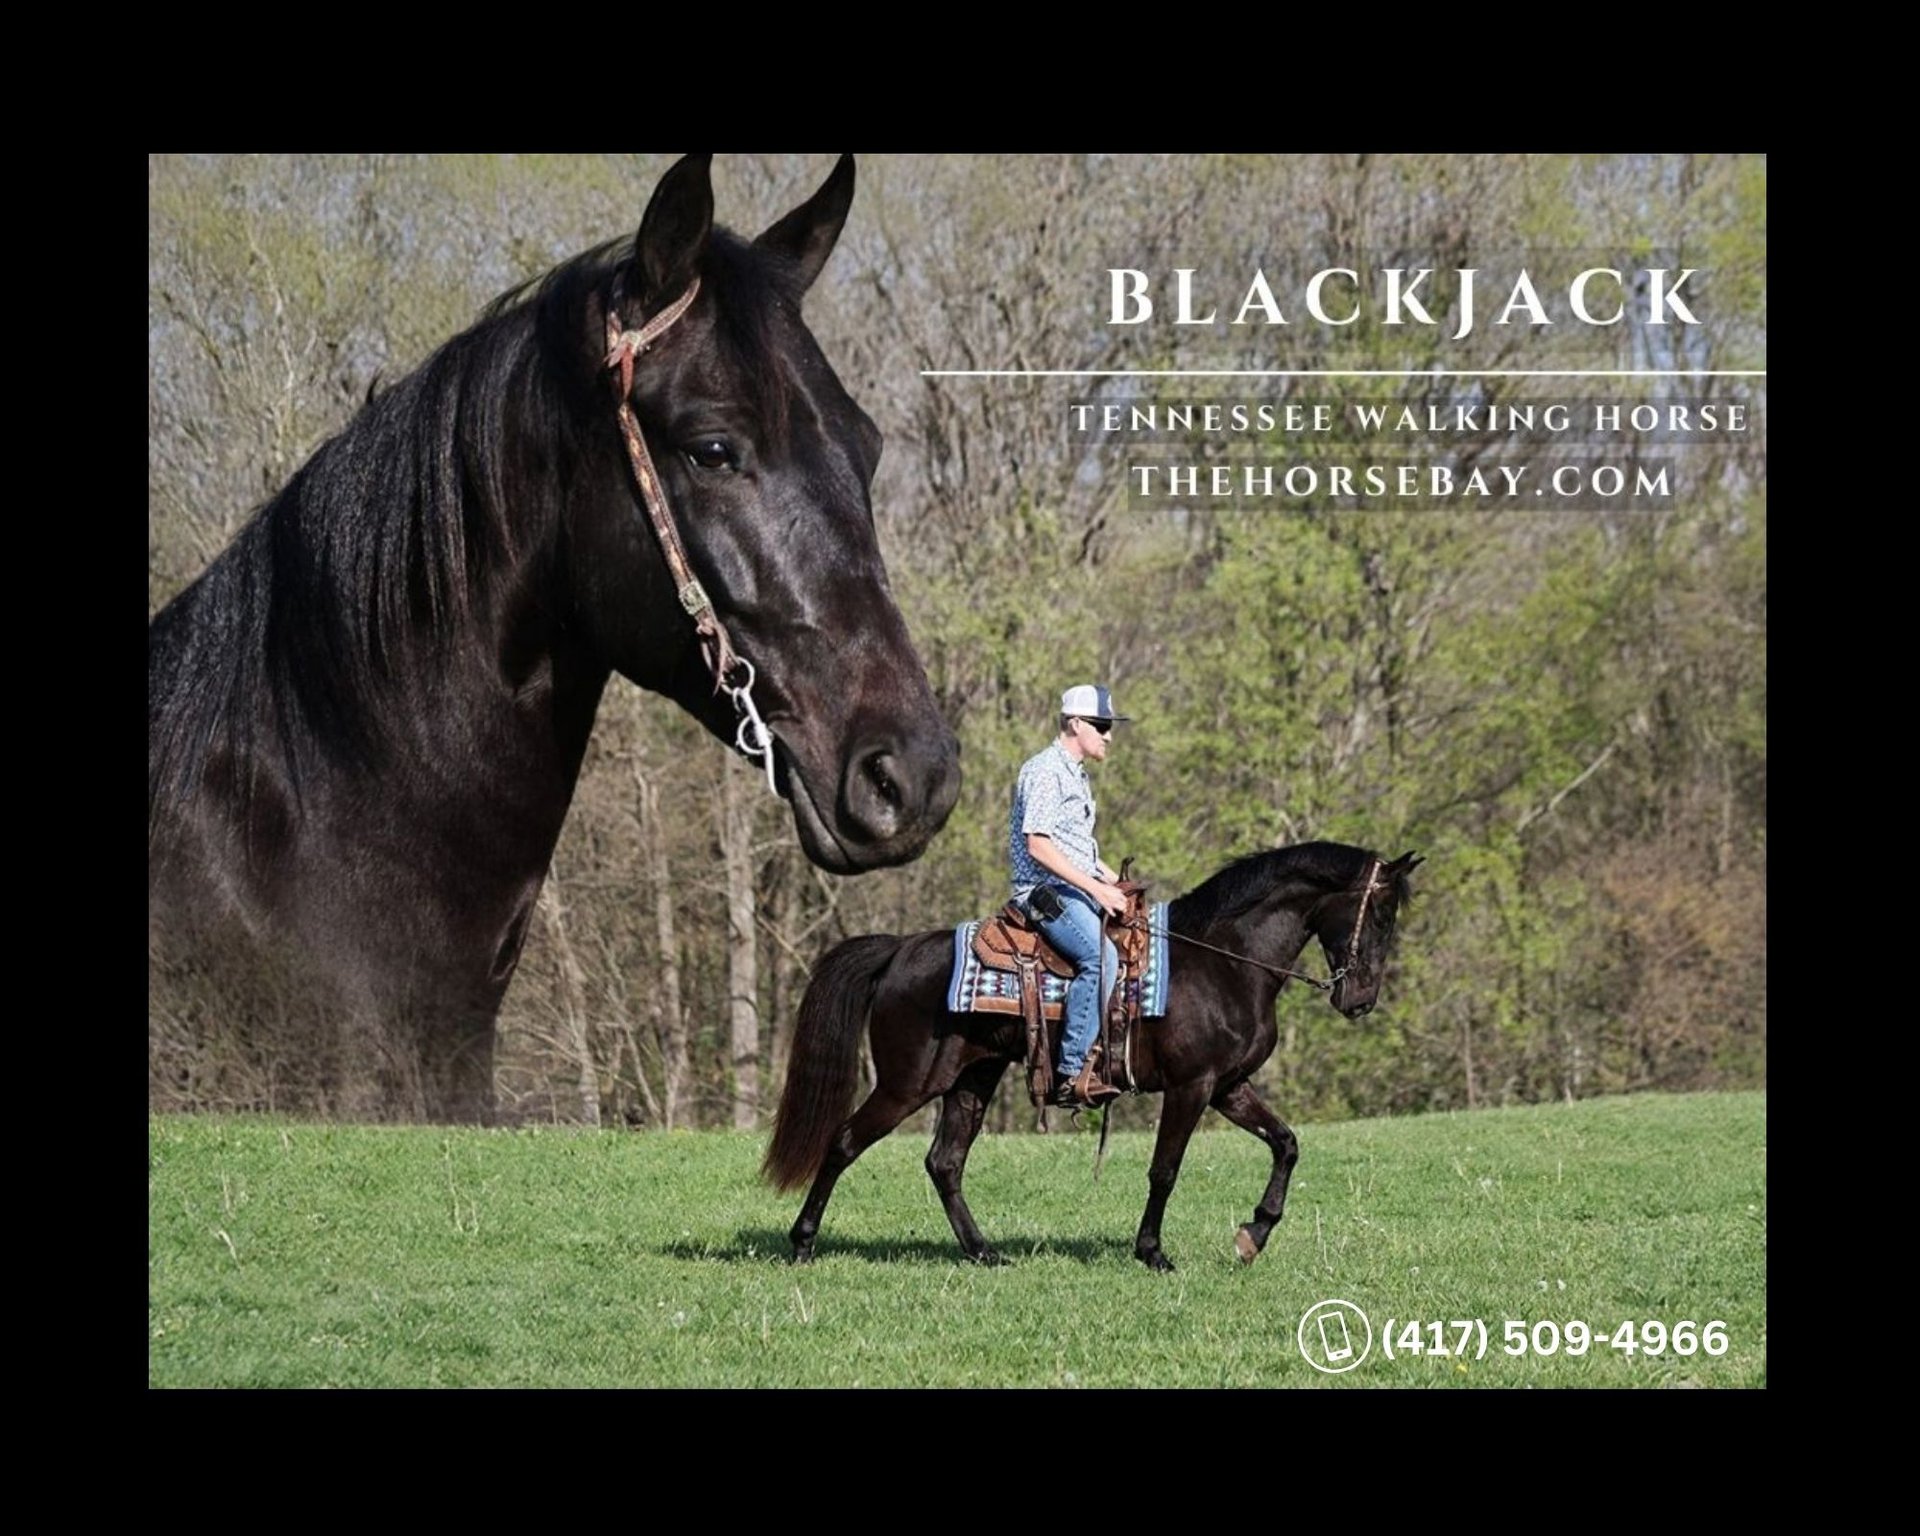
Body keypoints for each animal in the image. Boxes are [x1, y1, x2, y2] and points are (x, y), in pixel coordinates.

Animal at [764, 843, 1420, 1271]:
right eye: (1380, 914)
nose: (1360, 999)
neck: (1224, 961)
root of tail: (901, 950)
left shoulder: (1229, 1086)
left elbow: (1286, 1144)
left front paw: (1252, 1235)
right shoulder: (1191, 1086)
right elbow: (1165, 1170)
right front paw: (1153, 1253)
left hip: (973, 1078)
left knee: (944, 1163)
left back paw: (984, 1253)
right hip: (908, 1084)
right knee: (844, 1142)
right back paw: (802, 1244)